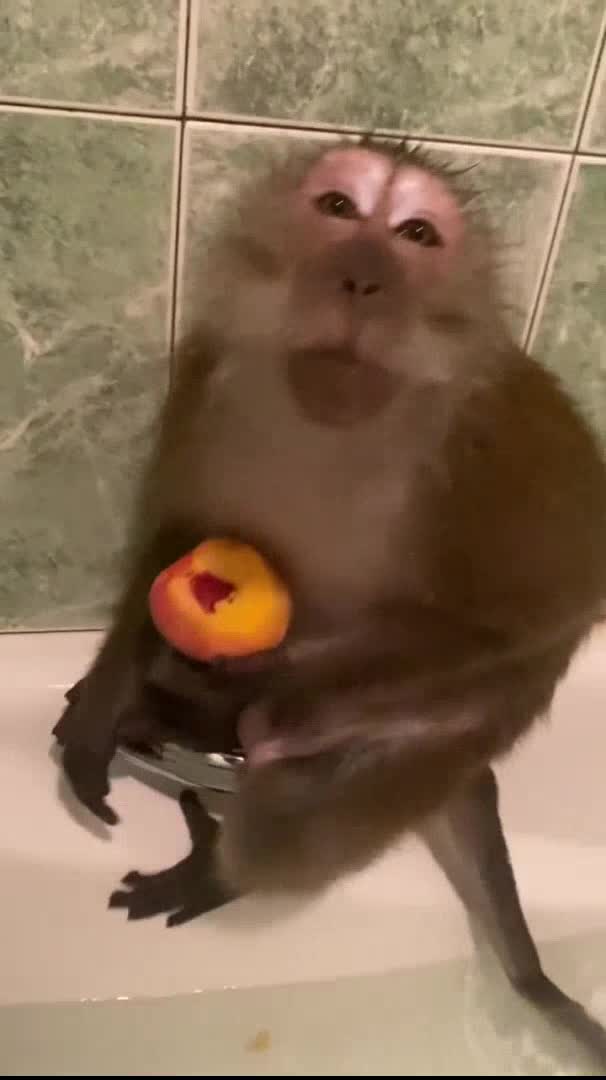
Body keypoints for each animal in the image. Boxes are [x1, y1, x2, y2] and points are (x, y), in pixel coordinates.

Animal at [53, 136, 606, 1068]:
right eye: (340, 209)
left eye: (417, 233)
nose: (362, 277)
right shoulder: (206, 371)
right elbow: (172, 536)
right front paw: (105, 708)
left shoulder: (497, 434)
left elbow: (546, 608)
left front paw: (264, 700)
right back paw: (151, 714)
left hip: (451, 734)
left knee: (315, 787)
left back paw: (222, 856)